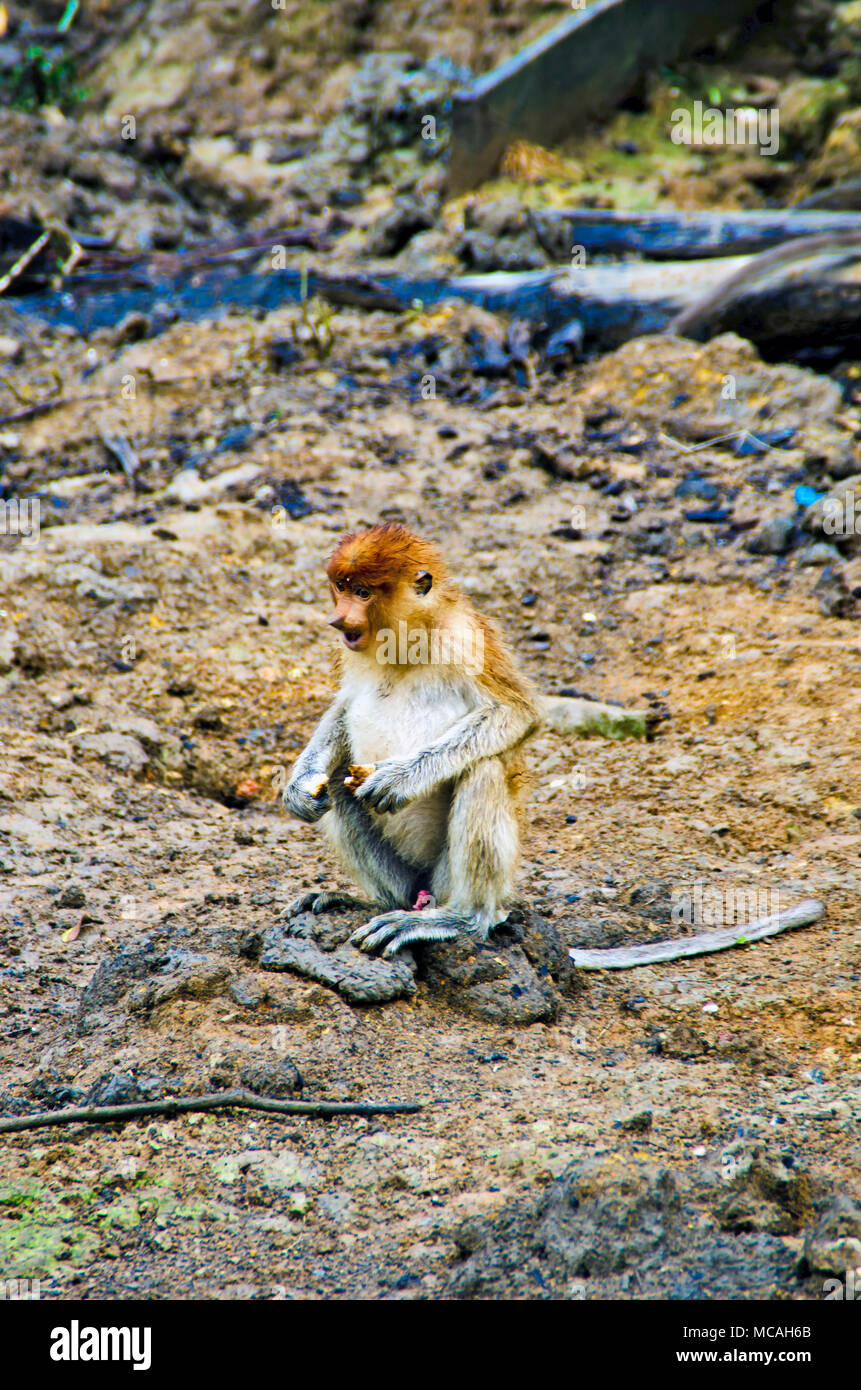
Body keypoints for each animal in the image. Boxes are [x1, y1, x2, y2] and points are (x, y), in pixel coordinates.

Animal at [281, 523, 540, 958]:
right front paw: (301, 785)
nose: (338, 619)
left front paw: (398, 779)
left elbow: (515, 712)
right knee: (338, 783)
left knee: (482, 769)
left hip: (447, 878)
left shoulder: (465, 638)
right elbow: (345, 706)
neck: (408, 636)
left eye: (363, 593)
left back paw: (459, 918)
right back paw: (374, 902)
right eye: (341, 587)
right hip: (408, 877)